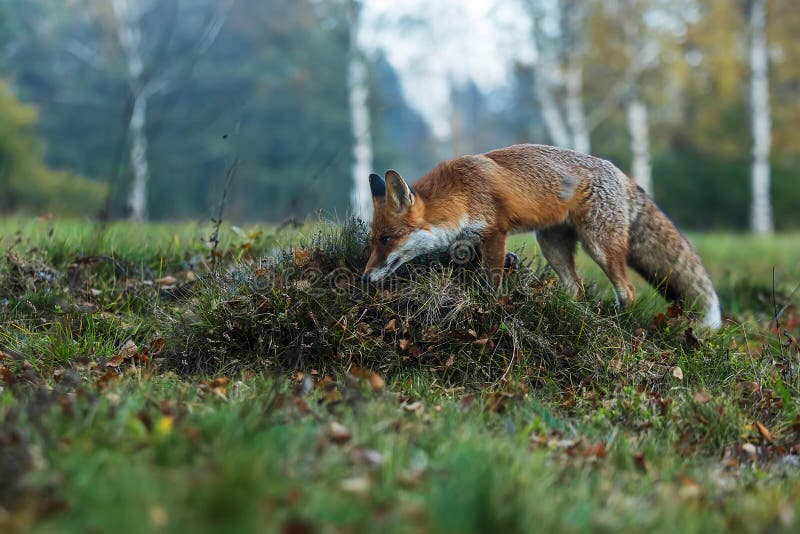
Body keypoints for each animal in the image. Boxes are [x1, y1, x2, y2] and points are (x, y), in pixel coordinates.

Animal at [362, 143, 722, 330]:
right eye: (372, 240)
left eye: (386, 239)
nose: (365, 278)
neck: (459, 193)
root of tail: (622, 175)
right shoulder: (472, 240)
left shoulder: (495, 231)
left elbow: (492, 282)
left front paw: (491, 308)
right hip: (551, 245)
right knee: (576, 288)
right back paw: (568, 313)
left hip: (599, 246)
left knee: (628, 291)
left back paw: (618, 322)